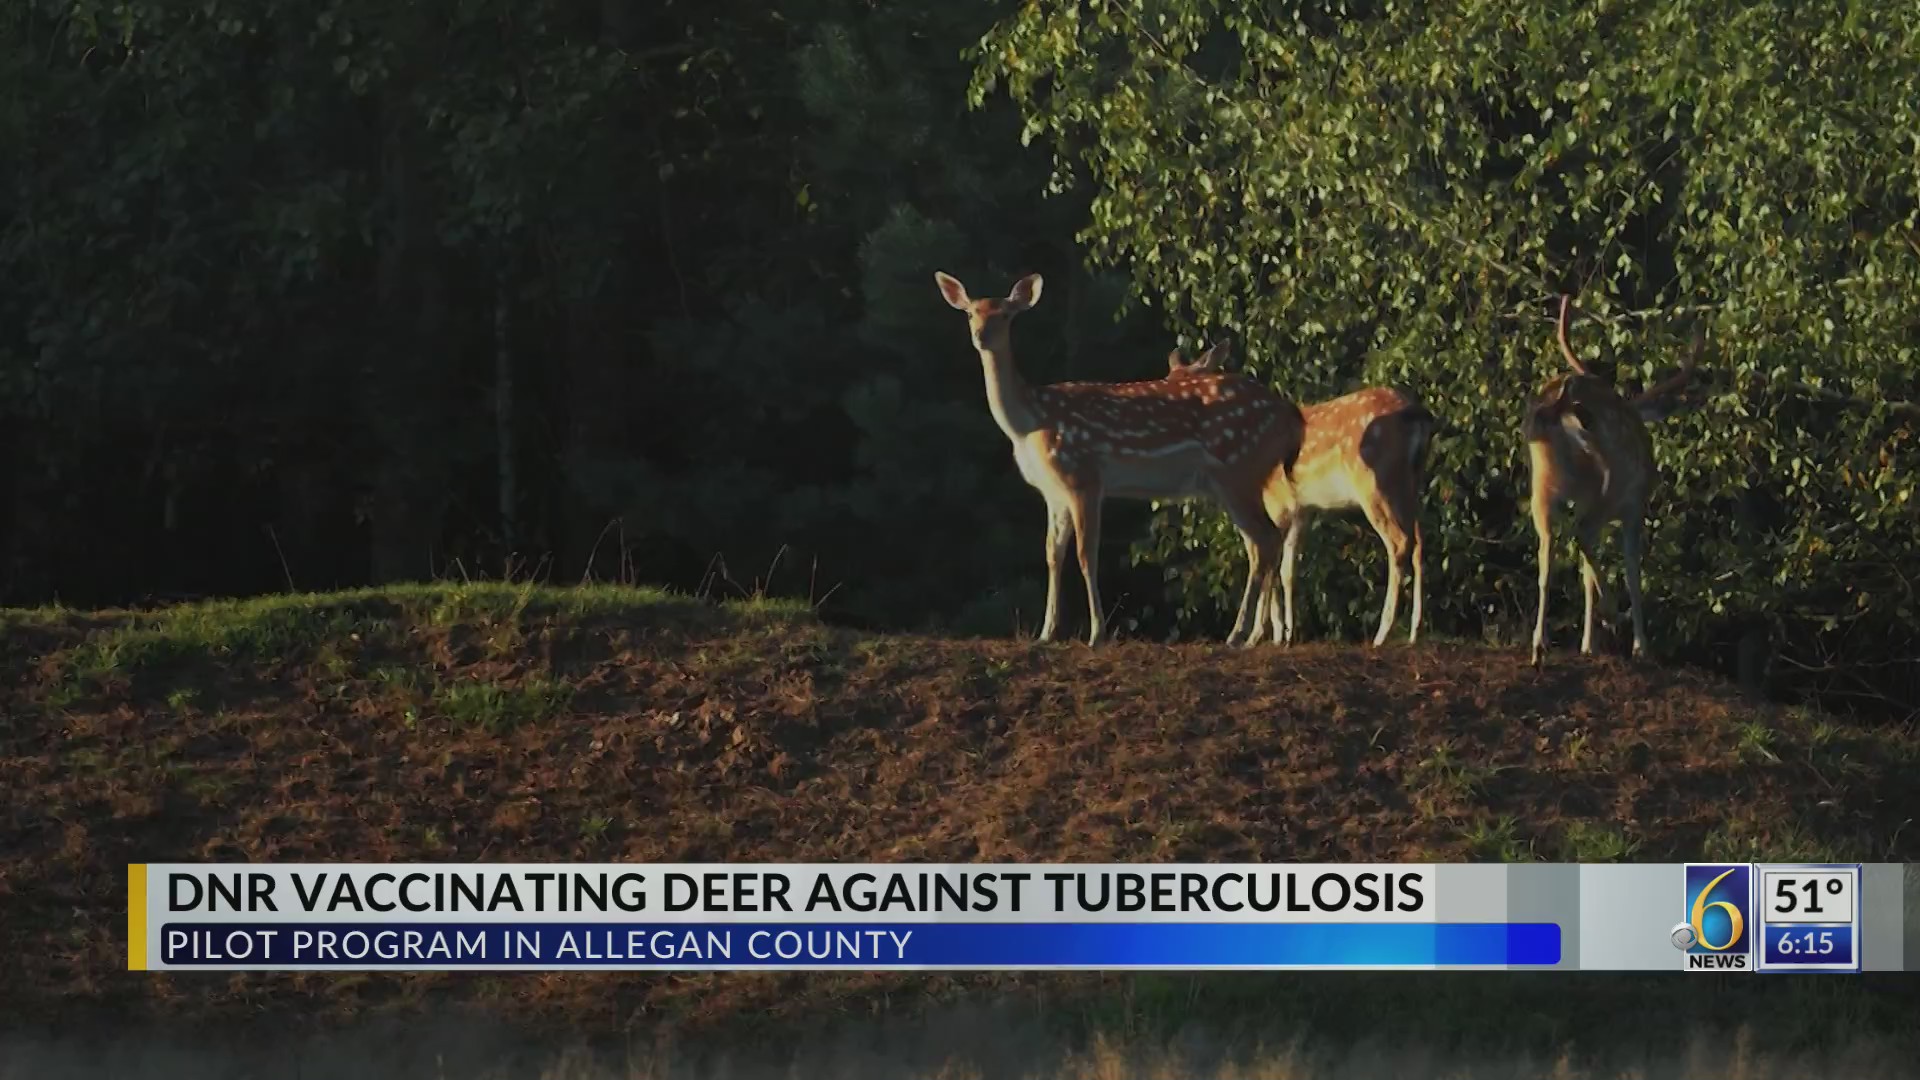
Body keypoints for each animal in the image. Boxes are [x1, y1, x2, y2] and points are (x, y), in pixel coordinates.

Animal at [935, 271, 1306, 648]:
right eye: (971, 313)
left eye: (1006, 315)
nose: (981, 336)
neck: (1029, 424)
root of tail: (1289, 415)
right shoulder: (1053, 491)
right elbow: (1052, 554)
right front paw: (1045, 633)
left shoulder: (1084, 477)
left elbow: (1086, 554)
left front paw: (1097, 634)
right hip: (1235, 480)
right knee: (1263, 542)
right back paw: (1255, 634)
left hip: (1237, 467)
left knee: (1265, 539)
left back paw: (1239, 634)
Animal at [1168, 347, 1437, 647]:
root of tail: (1418, 415)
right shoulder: (1300, 508)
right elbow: (1287, 569)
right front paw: (1284, 635)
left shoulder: (1275, 502)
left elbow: (1266, 559)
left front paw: (1259, 636)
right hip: (1412, 481)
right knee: (1419, 541)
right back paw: (1415, 631)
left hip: (1375, 482)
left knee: (1399, 542)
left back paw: (1382, 633)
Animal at [1525, 294, 1702, 668]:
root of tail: (1558, 410)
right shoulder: (1633, 507)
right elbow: (1633, 570)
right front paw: (1639, 646)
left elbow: (1585, 573)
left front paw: (1587, 645)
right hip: (1611, 484)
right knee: (1581, 534)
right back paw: (1613, 615)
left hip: (1544, 488)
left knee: (1547, 554)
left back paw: (1539, 646)